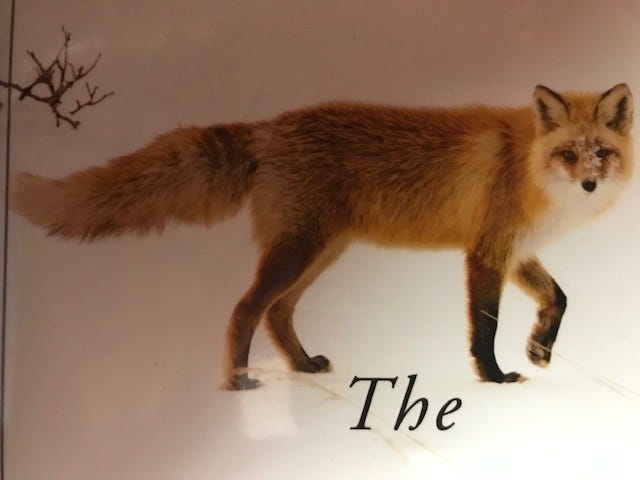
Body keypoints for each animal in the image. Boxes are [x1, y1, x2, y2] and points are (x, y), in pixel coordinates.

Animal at [11, 84, 633, 390]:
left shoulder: (516, 250)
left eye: (601, 152)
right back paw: (238, 380)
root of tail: (270, 128)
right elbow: (485, 327)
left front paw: (539, 349)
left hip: (321, 253)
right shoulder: (486, 253)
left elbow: (559, 298)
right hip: (300, 252)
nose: (589, 182)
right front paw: (496, 375)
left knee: (276, 313)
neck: (527, 166)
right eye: (568, 153)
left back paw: (302, 365)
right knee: (245, 309)